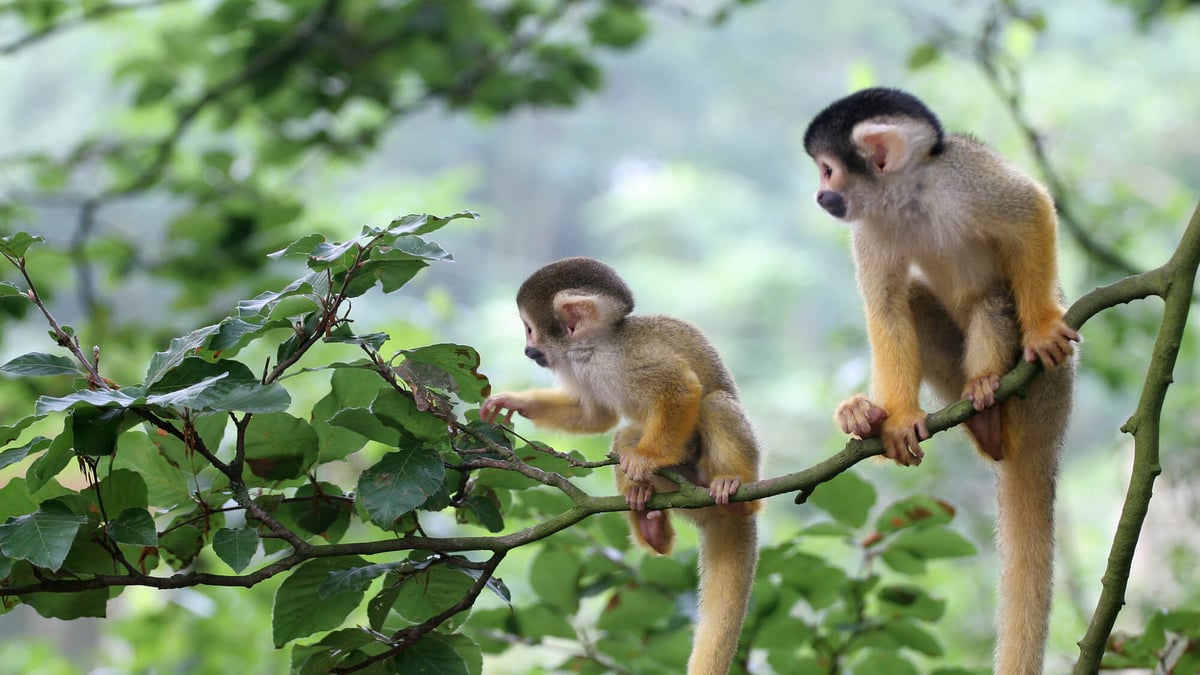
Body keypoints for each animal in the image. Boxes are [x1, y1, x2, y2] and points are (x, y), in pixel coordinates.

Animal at [479, 257, 762, 675]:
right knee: (625, 433)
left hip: (713, 475)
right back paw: (647, 516)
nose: (528, 350)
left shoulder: (634, 357)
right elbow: (595, 416)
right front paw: (517, 401)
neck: (595, 350)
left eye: (529, 329)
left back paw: (733, 487)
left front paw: (645, 459)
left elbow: (681, 391)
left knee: (714, 404)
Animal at [803, 87, 1080, 675]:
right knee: (912, 299)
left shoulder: (965, 175)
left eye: (828, 170)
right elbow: (887, 310)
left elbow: (1031, 209)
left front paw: (1044, 324)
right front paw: (894, 420)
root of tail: (1052, 437)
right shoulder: (870, 226)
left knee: (995, 298)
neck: (907, 196)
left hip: (1049, 392)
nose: (820, 195)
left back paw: (992, 395)